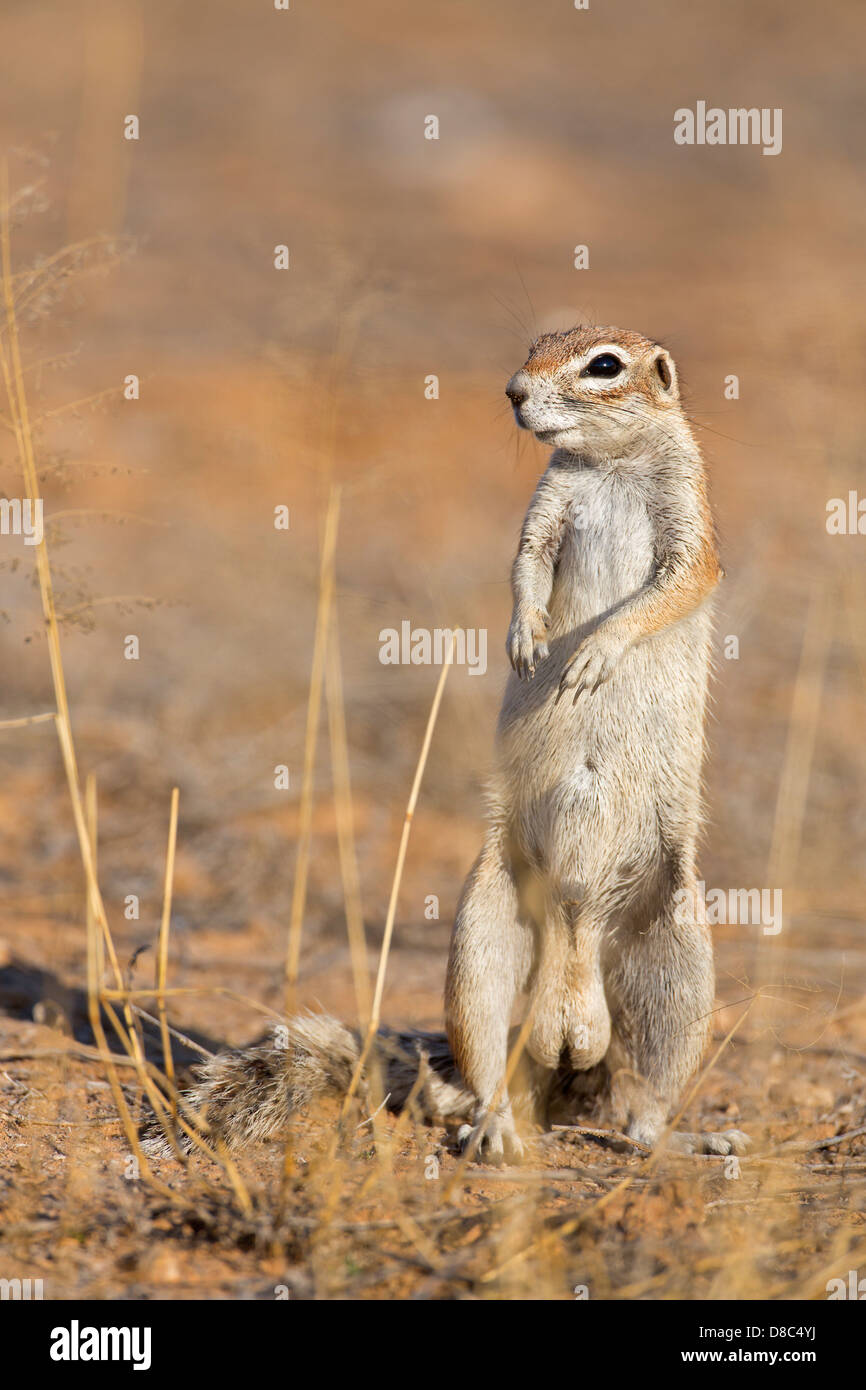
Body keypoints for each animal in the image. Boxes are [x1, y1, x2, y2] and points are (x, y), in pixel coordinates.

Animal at [143, 325, 748, 1164]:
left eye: (604, 365)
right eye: (534, 344)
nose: (513, 392)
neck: (608, 464)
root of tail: (566, 1033)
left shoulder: (689, 516)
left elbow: (677, 584)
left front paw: (594, 653)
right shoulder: (545, 509)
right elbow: (524, 567)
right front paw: (526, 639)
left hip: (679, 956)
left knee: (642, 1097)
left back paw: (679, 1139)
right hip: (480, 937)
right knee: (488, 1061)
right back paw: (494, 1126)